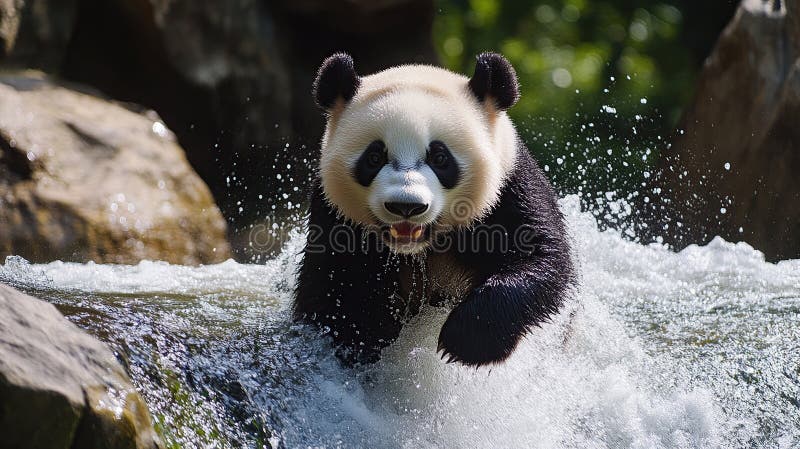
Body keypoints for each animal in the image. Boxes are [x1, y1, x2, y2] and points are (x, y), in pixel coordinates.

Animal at [294, 52, 574, 367]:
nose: (406, 206)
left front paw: (468, 340)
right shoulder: (333, 214)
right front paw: (364, 336)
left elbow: (538, 256)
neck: (421, 247)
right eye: (374, 157)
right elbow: (334, 287)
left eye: (440, 158)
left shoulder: (510, 189)